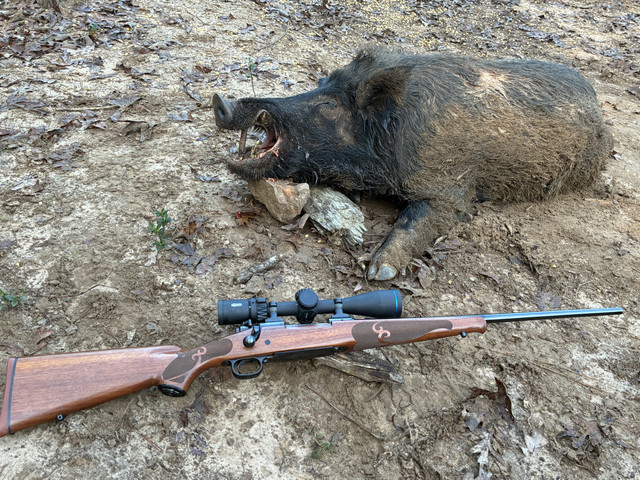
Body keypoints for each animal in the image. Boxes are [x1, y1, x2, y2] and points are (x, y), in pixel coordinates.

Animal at [213, 48, 612, 281]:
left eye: (327, 106)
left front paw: (377, 272)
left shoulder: (451, 188)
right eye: (319, 83)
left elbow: (414, 220)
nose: (222, 101)